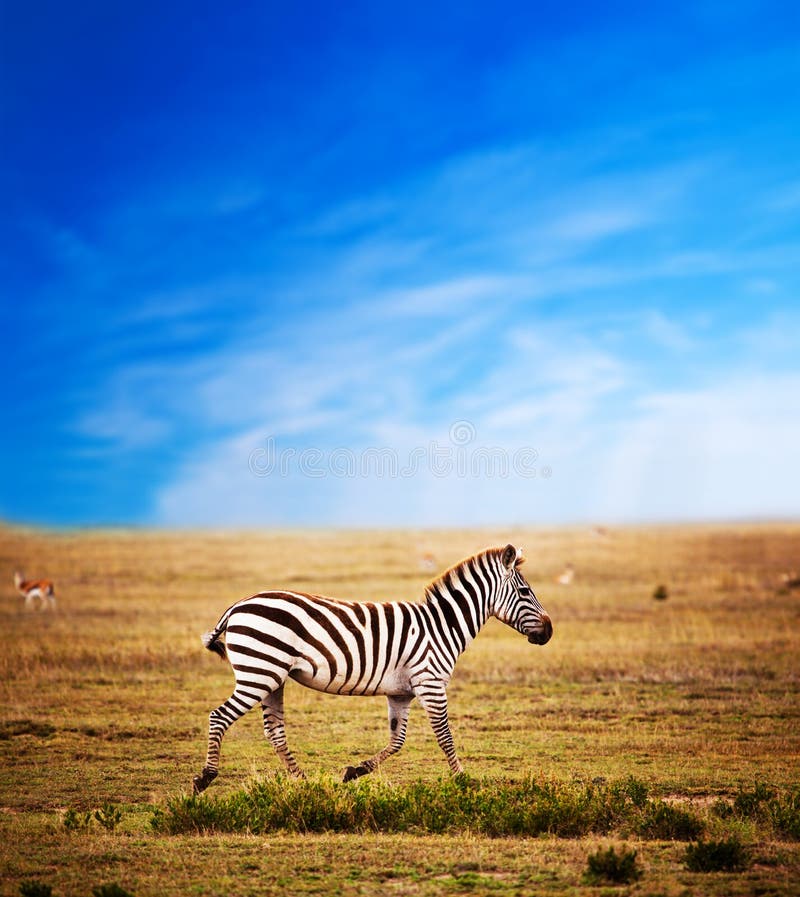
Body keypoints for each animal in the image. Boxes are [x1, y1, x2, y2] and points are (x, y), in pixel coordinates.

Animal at [192, 543, 552, 793]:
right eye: (525, 591)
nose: (549, 632)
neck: (442, 626)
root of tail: (238, 605)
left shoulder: (401, 693)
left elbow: (397, 740)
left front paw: (355, 772)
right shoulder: (431, 683)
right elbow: (445, 736)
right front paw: (463, 780)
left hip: (273, 677)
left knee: (275, 731)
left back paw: (304, 781)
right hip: (258, 672)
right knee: (219, 716)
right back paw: (205, 778)